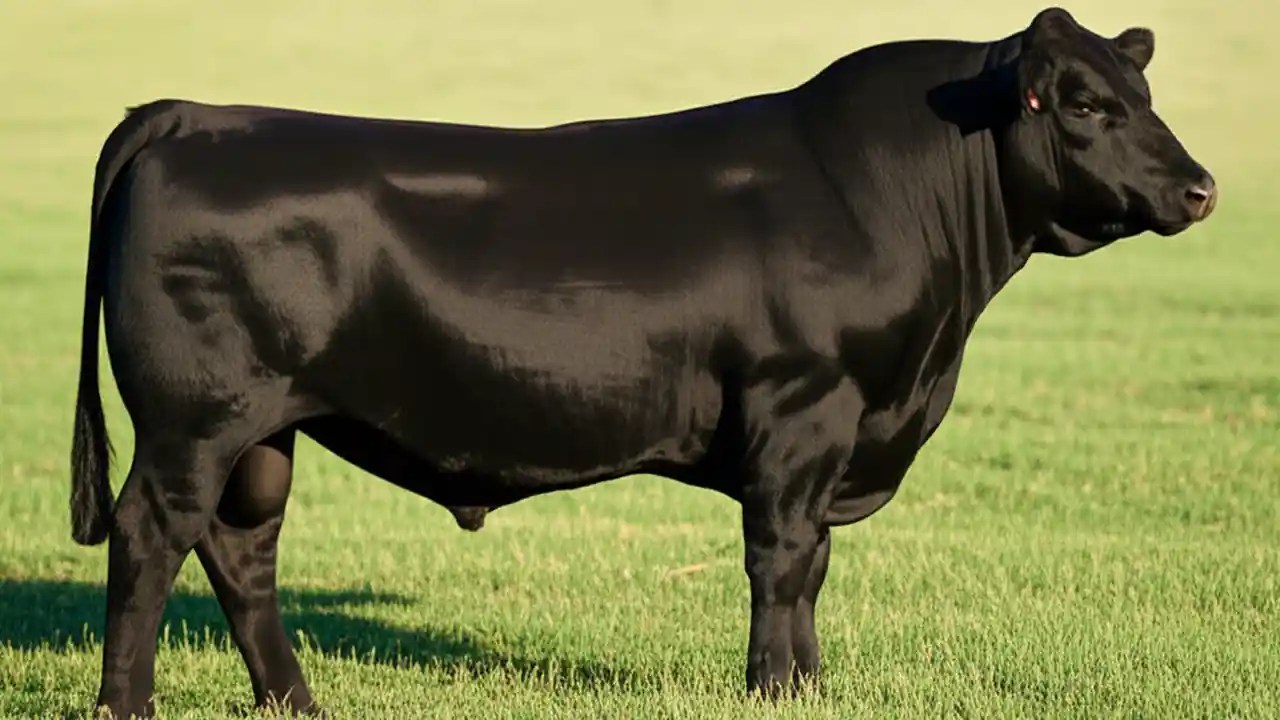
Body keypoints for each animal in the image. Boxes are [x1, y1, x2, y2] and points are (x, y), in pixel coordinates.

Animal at [70, 7, 1215, 717]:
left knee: (239, 550)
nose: (1201, 187)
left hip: (264, 428)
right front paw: (776, 689)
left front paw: (809, 688)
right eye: (1082, 104)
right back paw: (127, 704)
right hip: (193, 419)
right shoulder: (802, 411)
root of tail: (195, 115)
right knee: (150, 537)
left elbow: (812, 566)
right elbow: (783, 561)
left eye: (1146, 92)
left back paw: (299, 703)